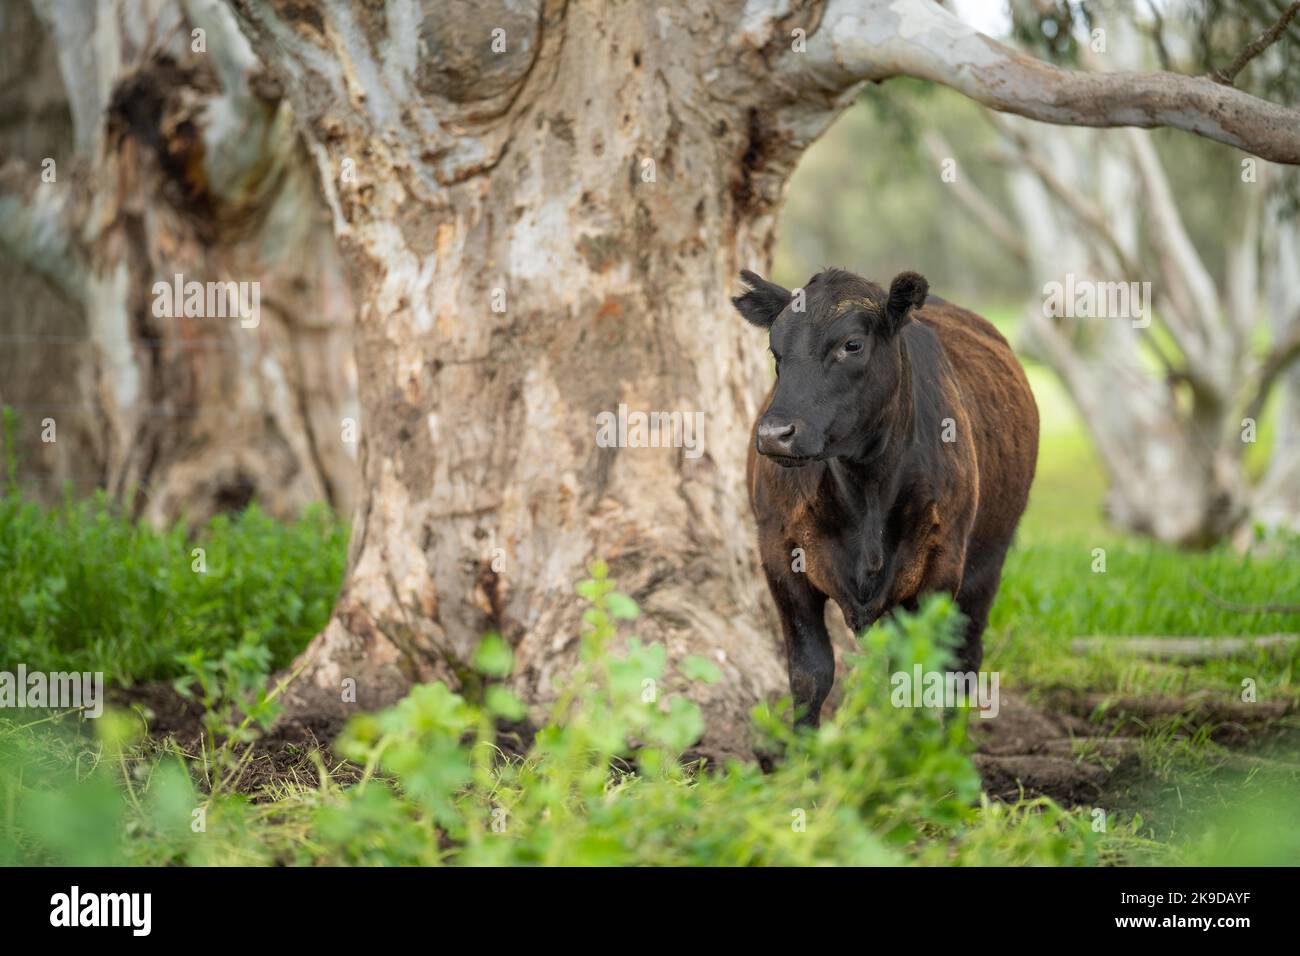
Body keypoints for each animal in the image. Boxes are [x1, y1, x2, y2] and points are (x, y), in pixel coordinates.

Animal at [733, 267, 1039, 727]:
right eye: (775, 350)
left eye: (852, 345)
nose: (774, 434)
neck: (866, 491)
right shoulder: (779, 554)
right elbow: (810, 674)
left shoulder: (940, 565)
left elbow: (918, 673)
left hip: (987, 561)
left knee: (964, 661)